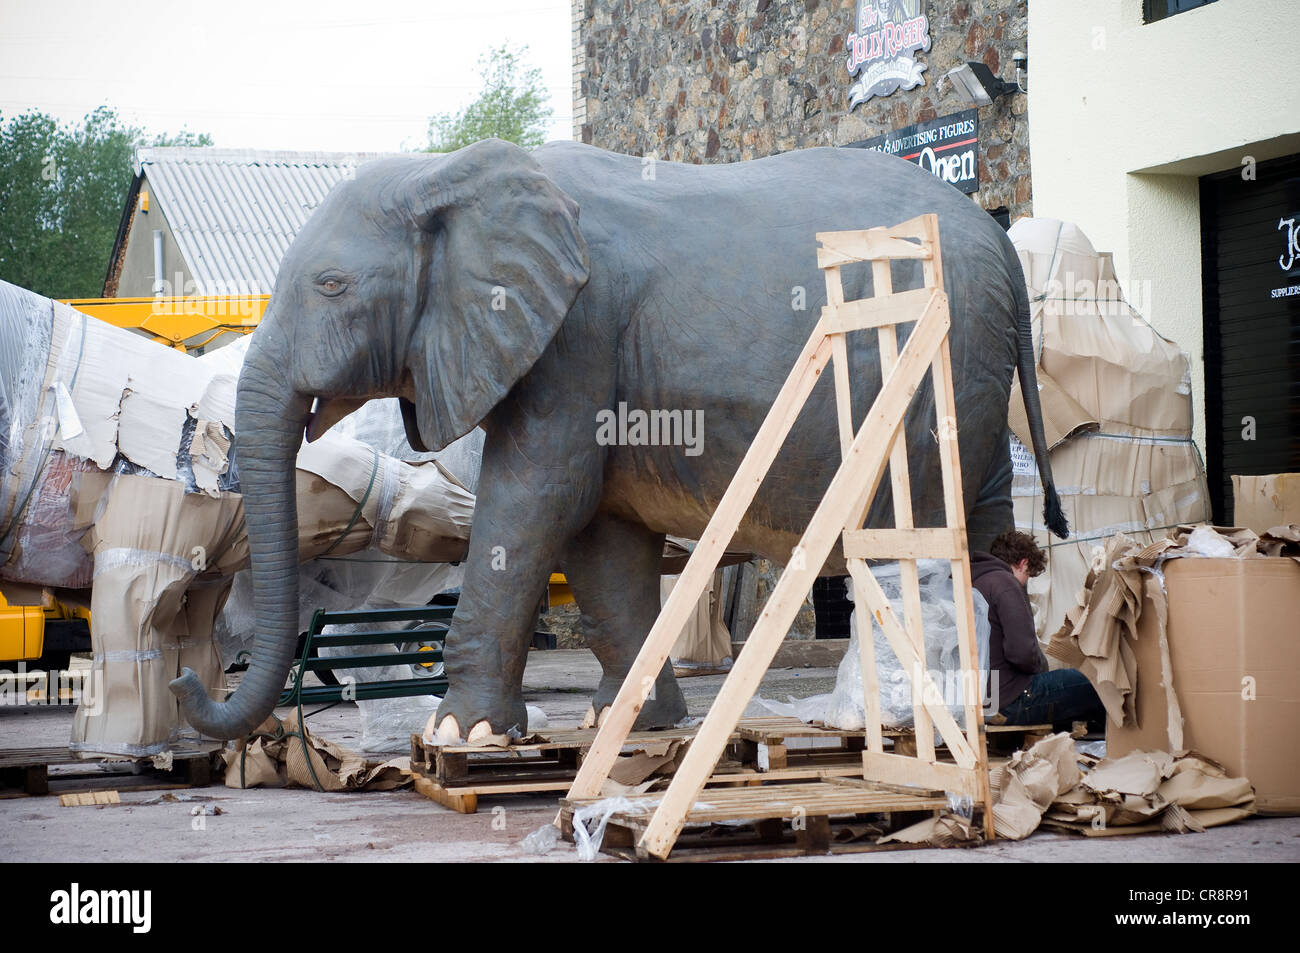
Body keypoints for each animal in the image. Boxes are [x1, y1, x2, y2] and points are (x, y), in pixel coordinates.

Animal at [171, 138, 1068, 744]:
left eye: (332, 286)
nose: (187, 675)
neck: (445, 174)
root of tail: (1001, 240)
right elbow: (597, 533)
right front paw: (624, 722)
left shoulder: (579, 333)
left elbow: (538, 498)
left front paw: (458, 734)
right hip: (976, 373)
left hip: (941, 360)